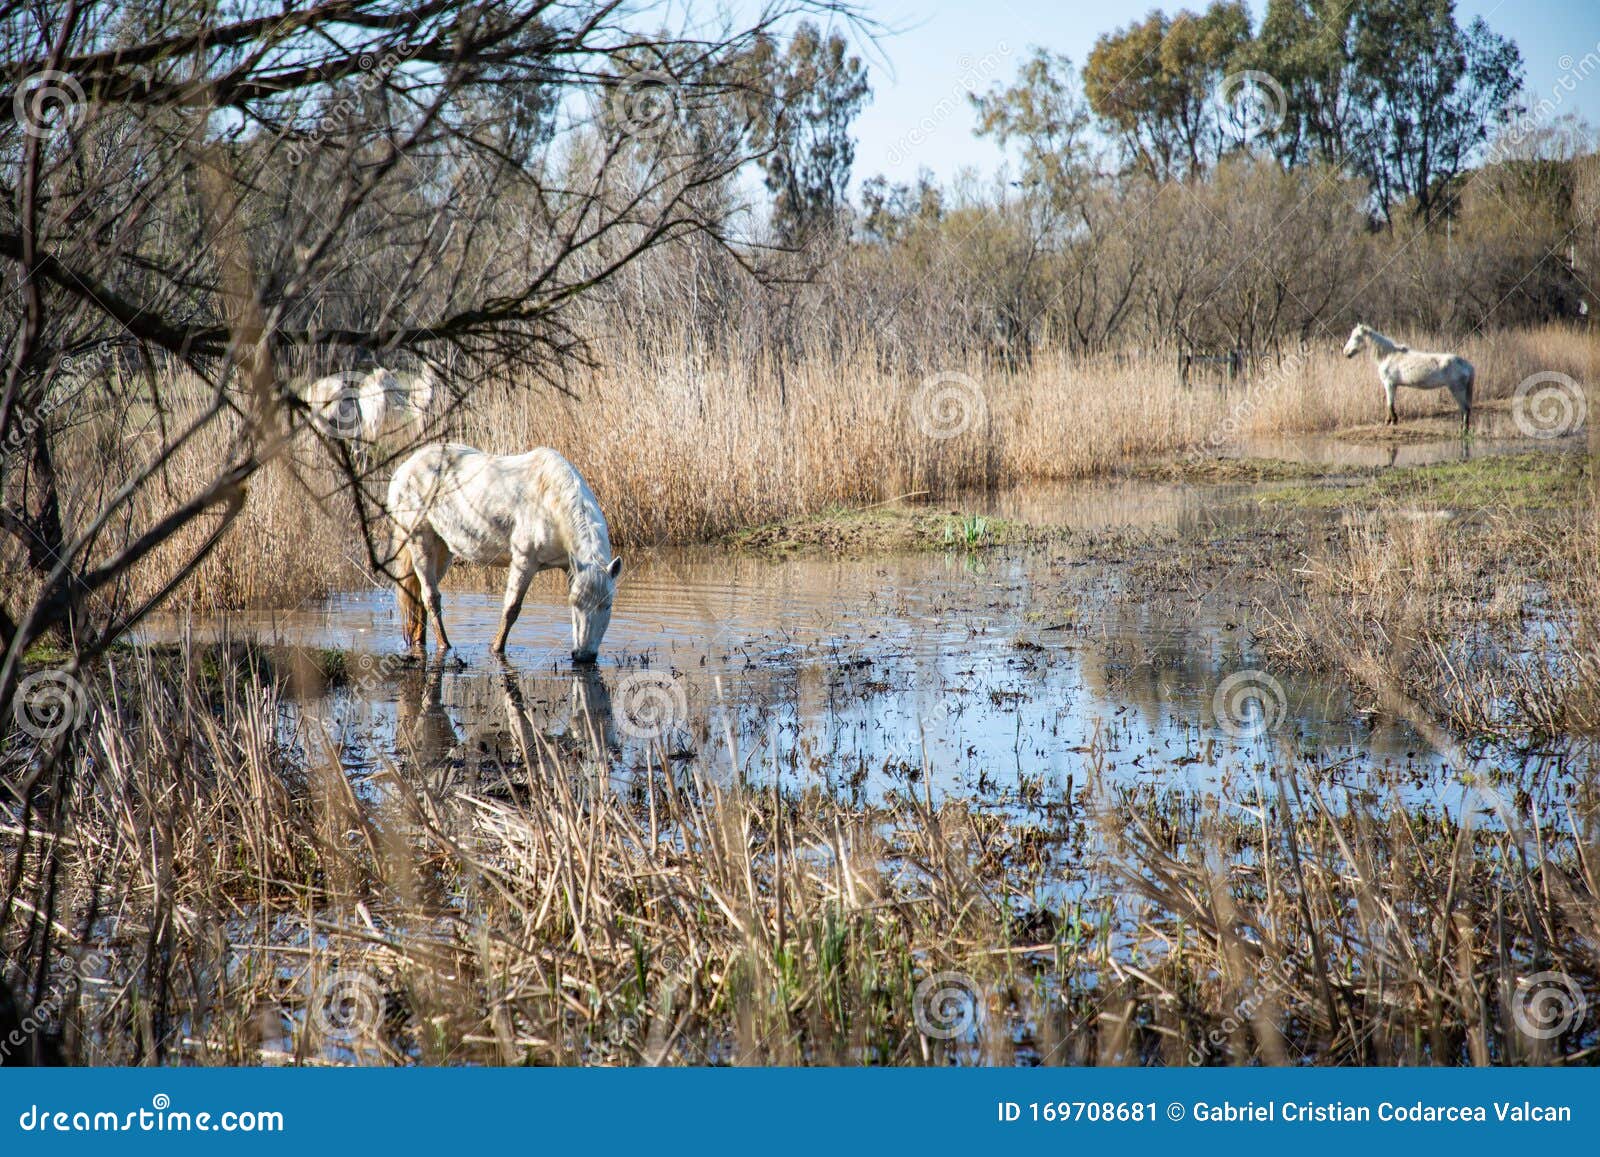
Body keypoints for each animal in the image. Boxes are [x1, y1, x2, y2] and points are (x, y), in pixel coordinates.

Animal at [386, 443, 622, 663]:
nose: (584, 657)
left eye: (607, 605)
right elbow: (511, 609)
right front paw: (496, 649)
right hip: (420, 541)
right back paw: (445, 646)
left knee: (420, 599)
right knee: (431, 597)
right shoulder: (524, 561)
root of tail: (405, 468)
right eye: (575, 603)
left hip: (442, 549)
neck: (550, 501)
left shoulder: (569, 567)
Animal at [1342, 323, 1474, 433]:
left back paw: (1464, 430)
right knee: (1464, 409)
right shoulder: (1394, 385)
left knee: (1465, 409)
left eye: (1357, 337)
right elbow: (1391, 403)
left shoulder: (1389, 384)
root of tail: (1467, 364)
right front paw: (1392, 421)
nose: (1345, 352)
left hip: (1456, 389)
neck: (1388, 355)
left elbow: (1389, 403)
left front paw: (1390, 421)